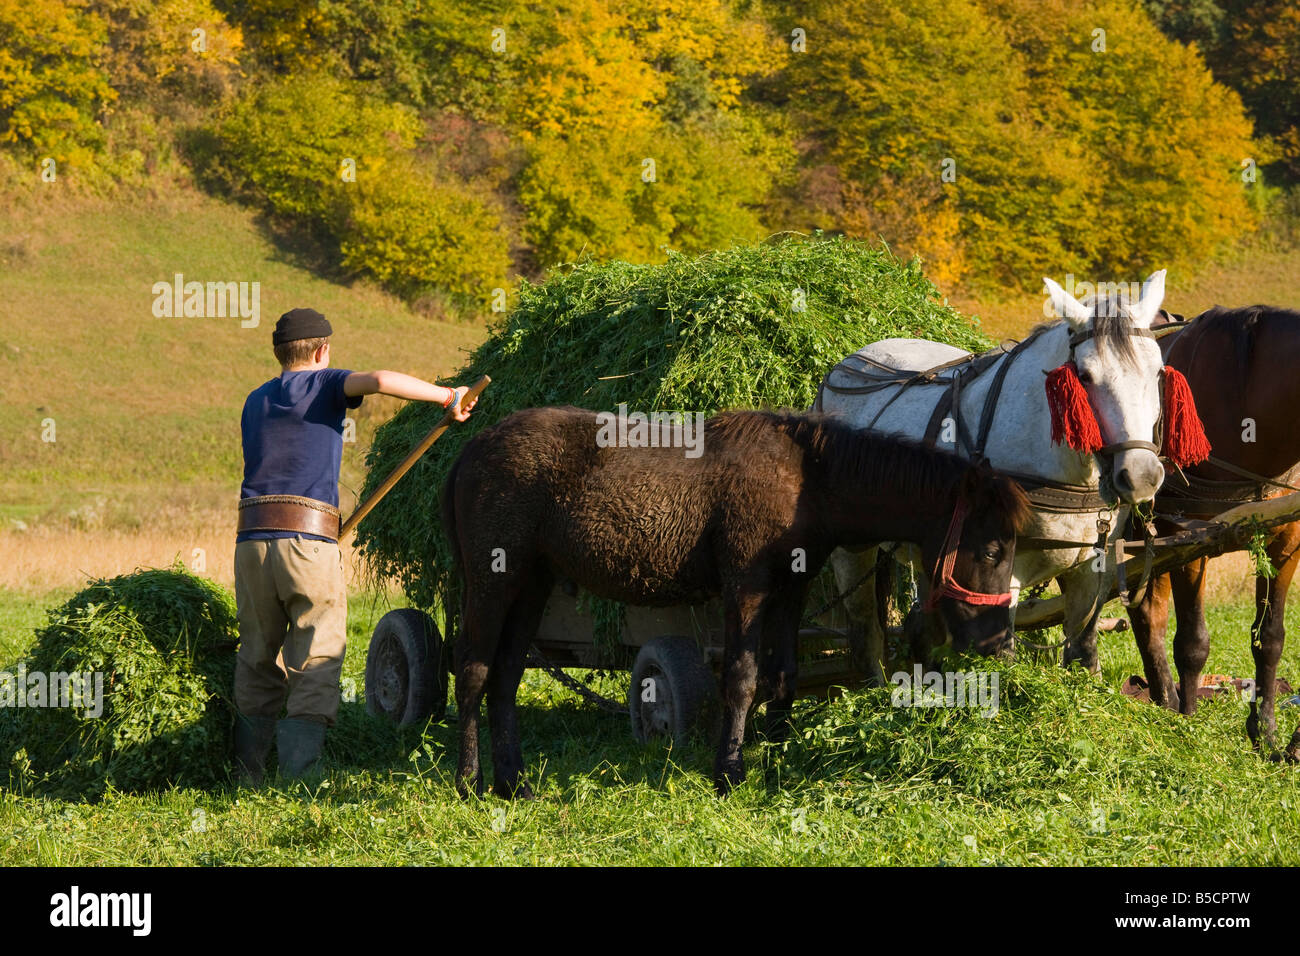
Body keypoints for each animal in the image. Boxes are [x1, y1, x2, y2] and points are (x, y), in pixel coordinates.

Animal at [442, 405, 1030, 798]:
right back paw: (470, 780)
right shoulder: (745, 588)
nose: (999, 646)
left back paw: (513, 782)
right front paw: (729, 771)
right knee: (471, 672)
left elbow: (783, 677)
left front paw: (777, 757)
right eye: (992, 549)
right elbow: (743, 679)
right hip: (494, 584)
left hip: (531, 587)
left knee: (504, 679)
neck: (807, 478)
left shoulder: (790, 590)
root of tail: (473, 447)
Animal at [816, 271, 1179, 678]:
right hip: (853, 549)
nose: (1142, 475)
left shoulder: (1090, 571)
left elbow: (1083, 654)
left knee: (923, 631)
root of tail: (846, 366)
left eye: (1157, 371)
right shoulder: (1001, 573)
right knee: (866, 631)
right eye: (1085, 376)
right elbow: (1000, 654)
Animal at [1127, 306, 1300, 756]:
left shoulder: (1284, 544)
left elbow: (1270, 639)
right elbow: (1192, 642)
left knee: (1146, 613)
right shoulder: (1187, 540)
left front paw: (1266, 733)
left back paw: (1162, 698)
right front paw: (1187, 725)